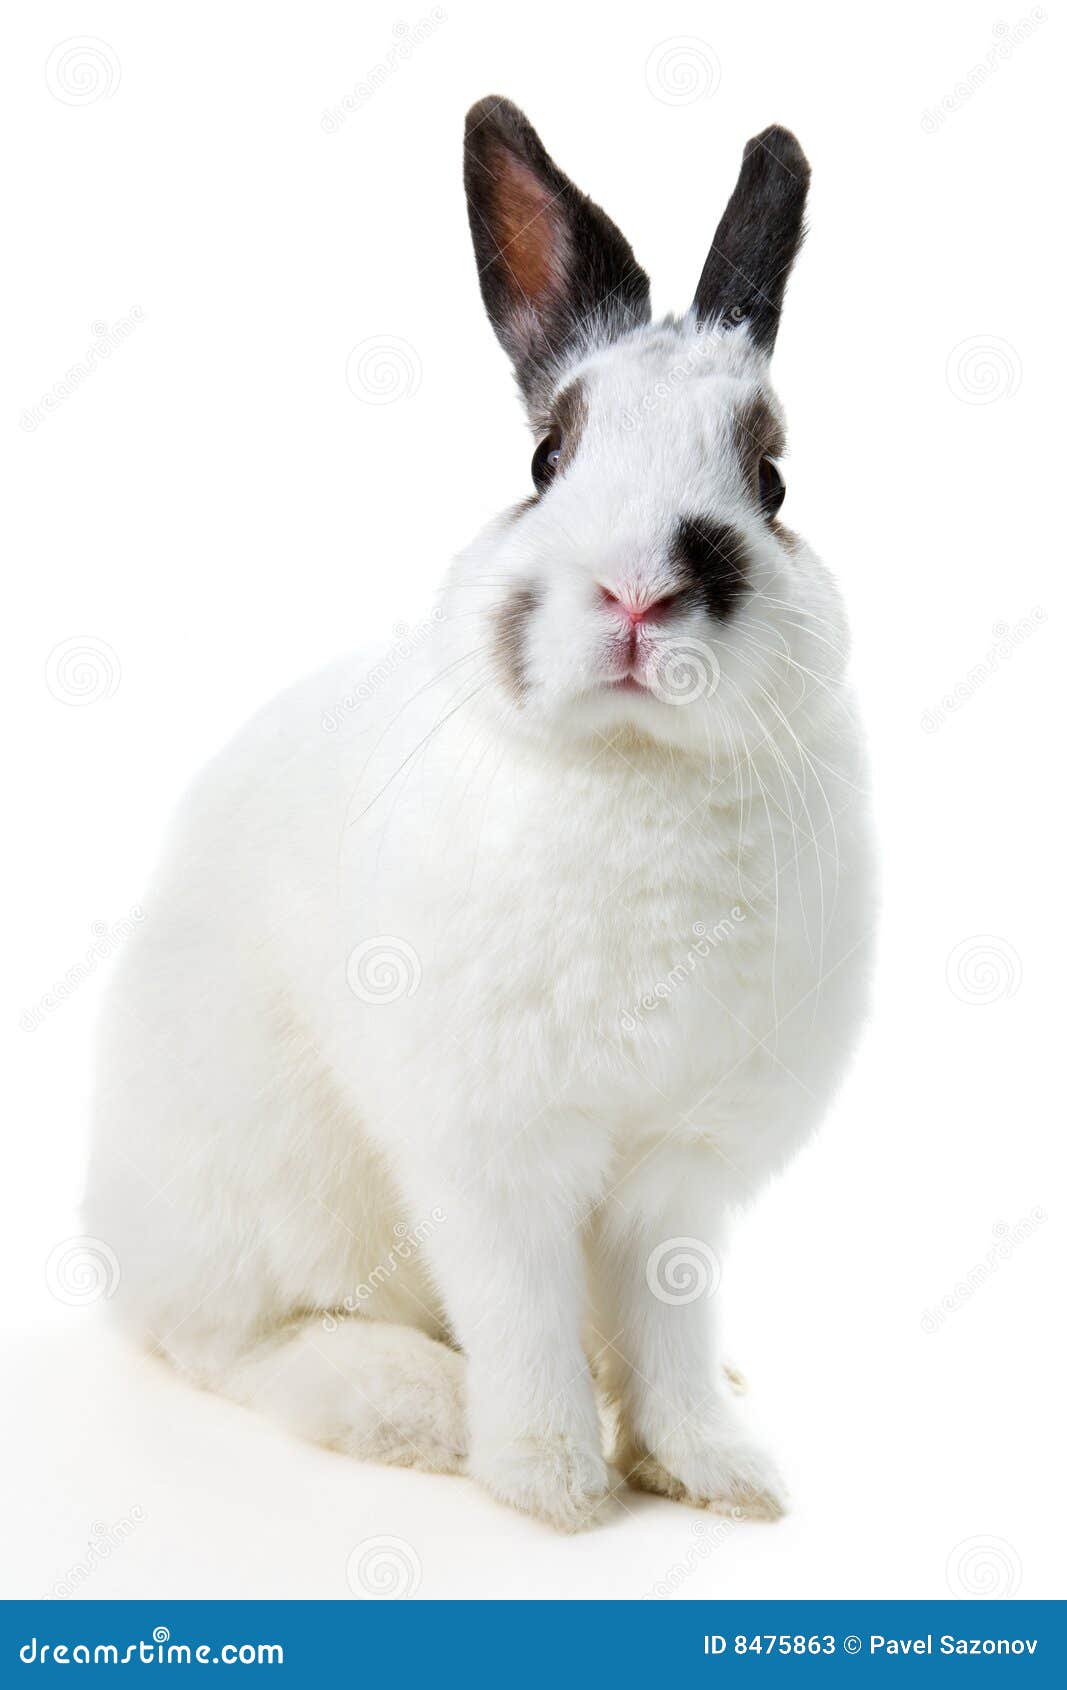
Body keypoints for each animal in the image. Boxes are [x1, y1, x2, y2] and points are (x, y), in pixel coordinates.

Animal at [85, 97, 874, 1533]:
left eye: (772, 480)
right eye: (545, 457)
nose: (636, 592)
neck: (631, 772)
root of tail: (105, 1222)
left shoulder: (675, 1175)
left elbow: (667, 1329)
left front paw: (717, 1470)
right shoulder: (488, 1160)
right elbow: (518, 1317)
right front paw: (552, 1484)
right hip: (263, 1197)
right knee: (243, 1343)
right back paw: (413, 1401)